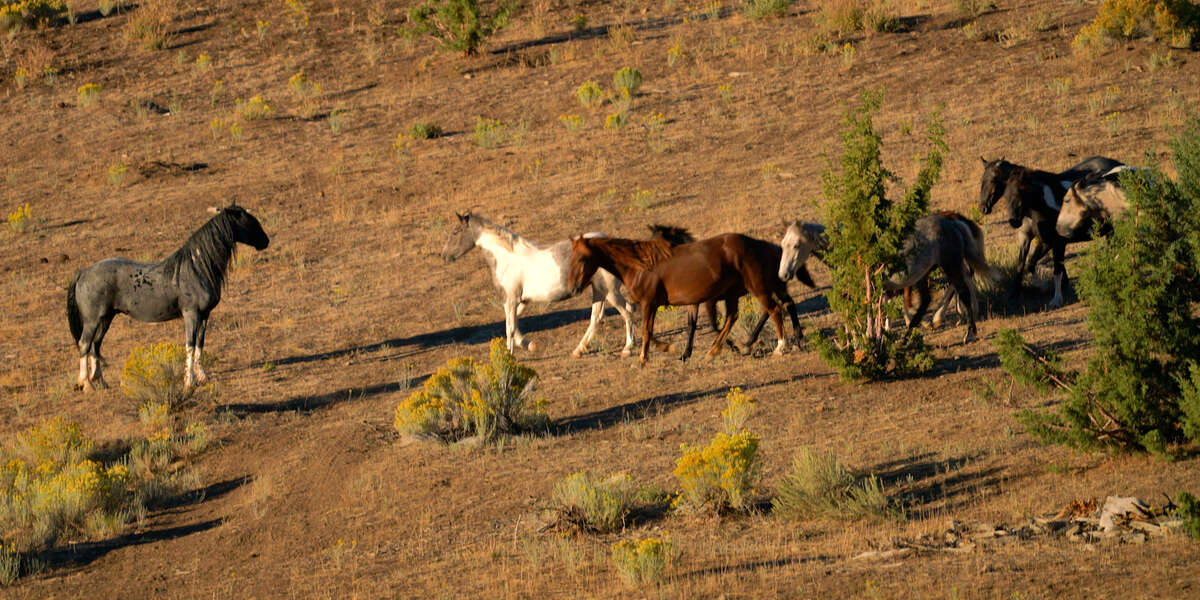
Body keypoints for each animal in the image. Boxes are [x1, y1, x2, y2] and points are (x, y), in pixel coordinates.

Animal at [67, 204, 270, 392]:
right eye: (249, 221)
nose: (265, 242)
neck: (196, 268)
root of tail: (83, 272)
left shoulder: (204, 315)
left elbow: (200, 344)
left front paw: (202, 377)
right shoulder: (191, 314)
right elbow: (190, 345)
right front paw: (189, 382)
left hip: (106, 318)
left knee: (95, 345)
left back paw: (101, 382)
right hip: (93, 320)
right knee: (85, 344)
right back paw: (86, 384)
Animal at [441, 212, 640, 357]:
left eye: (455, 232)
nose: (444, 256)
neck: (507, 258)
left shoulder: (510, 300)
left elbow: (509, 328)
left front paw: (510, 355)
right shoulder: (520, 301)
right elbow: (514, 324)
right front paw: (529, 345)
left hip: (610, 291)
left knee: (627, 312)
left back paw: (627, 349)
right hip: (599, 290)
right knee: (597, 318)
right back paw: (578, 350)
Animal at [568, 234, 791, 363]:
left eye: (582, 258)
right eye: (570, 258)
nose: (573, 288)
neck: (639, 266)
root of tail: (760, 244)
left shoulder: (649, 303)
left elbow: (646, 331)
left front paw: (644, 358)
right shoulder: (661, 304)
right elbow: (657, 330)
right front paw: (673, 350)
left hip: (756, 288)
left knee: (774, 310)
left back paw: (780, 347)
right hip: (734, 294)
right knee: (733, 317)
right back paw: (715, 350)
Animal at [977, 156, 1123, 308]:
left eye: (994, 180)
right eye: (982, 180)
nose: (983, 208)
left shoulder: (1056, 242)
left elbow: (1054, 269)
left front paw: (1056, 298)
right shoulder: (1029, 238)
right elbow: (1024, 264)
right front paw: (1015, 293)